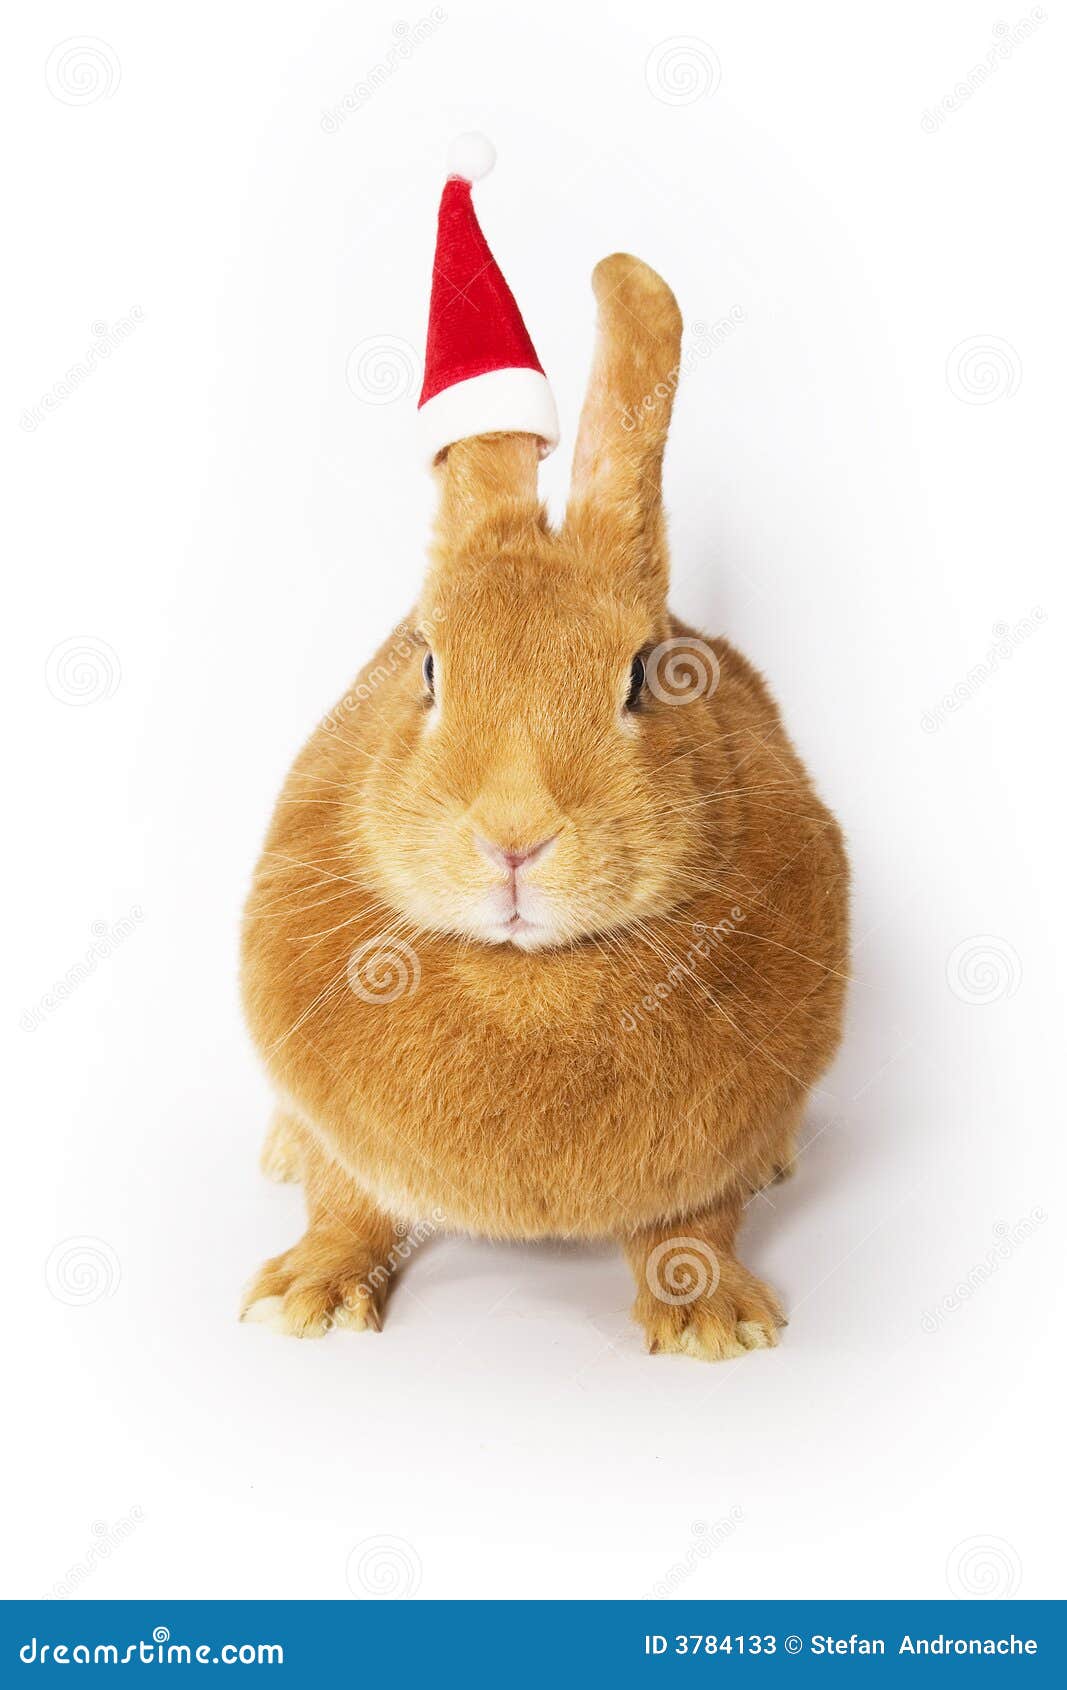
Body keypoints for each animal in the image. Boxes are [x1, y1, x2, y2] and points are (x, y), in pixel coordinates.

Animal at [240, 254, 849, 1361]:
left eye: (646, 676)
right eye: (427, 668)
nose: (512, 840)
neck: (528, 976)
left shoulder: (700, 1166)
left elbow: (693, 1227)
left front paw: (713, 1323)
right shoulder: (348, 1143)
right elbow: (347, 1203)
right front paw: (306, 1299)